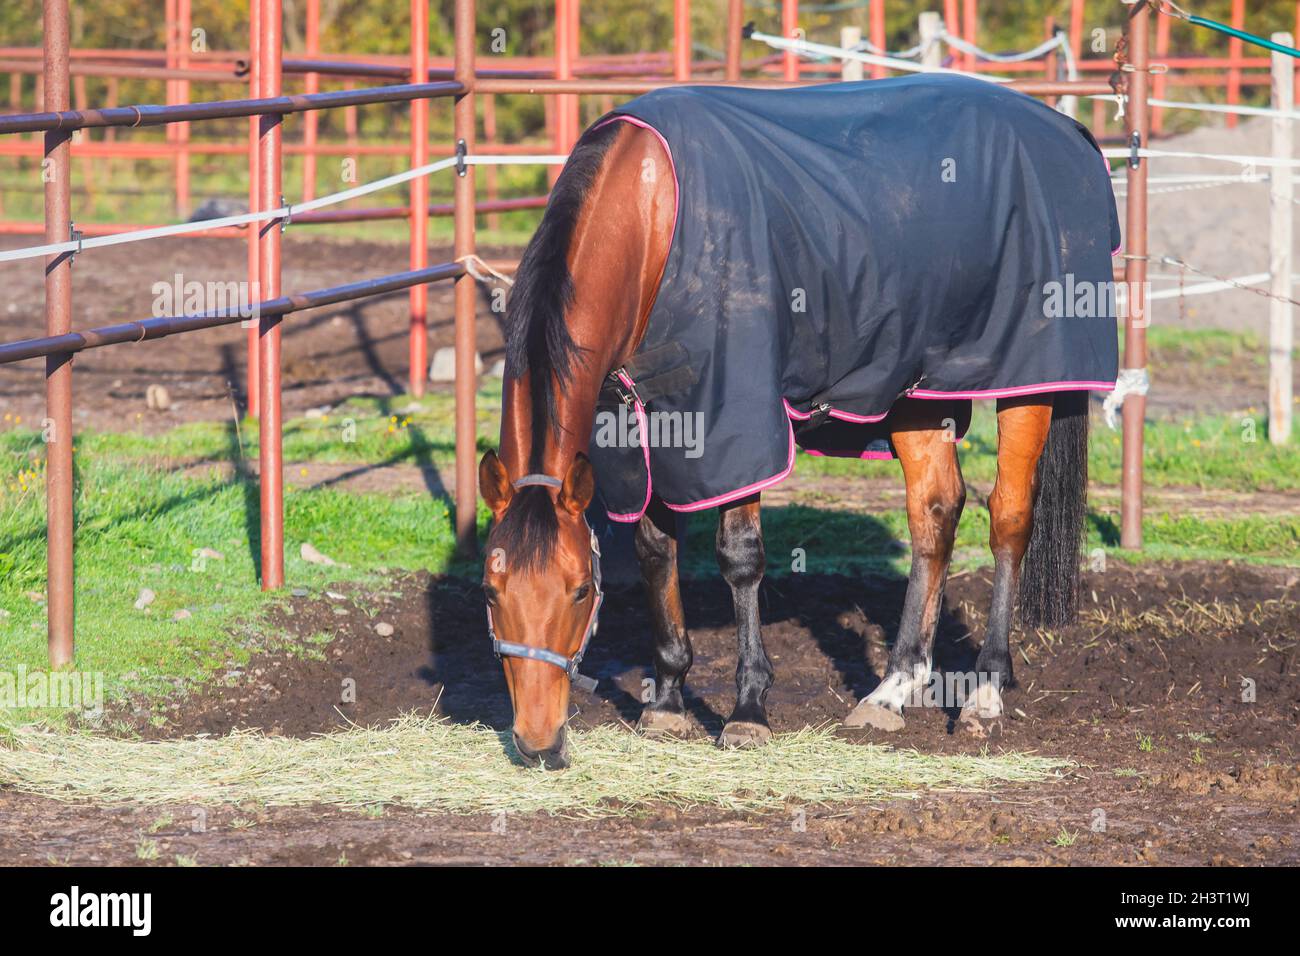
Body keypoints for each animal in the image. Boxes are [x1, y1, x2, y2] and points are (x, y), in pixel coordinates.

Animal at [480, 76, 1119, 769]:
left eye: (578, 591)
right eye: (490, 593)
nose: (537, 744)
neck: (650, 220)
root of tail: (1067, 131)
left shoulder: (736, 421)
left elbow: (739, 557)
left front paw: (747, 710)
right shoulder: (638, 438)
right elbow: (655, 550)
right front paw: (668, 700)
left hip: (1028, 376)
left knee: (1009, 518)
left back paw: (984, 694)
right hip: (914, 383)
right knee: (934, 512)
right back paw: (892, 689)